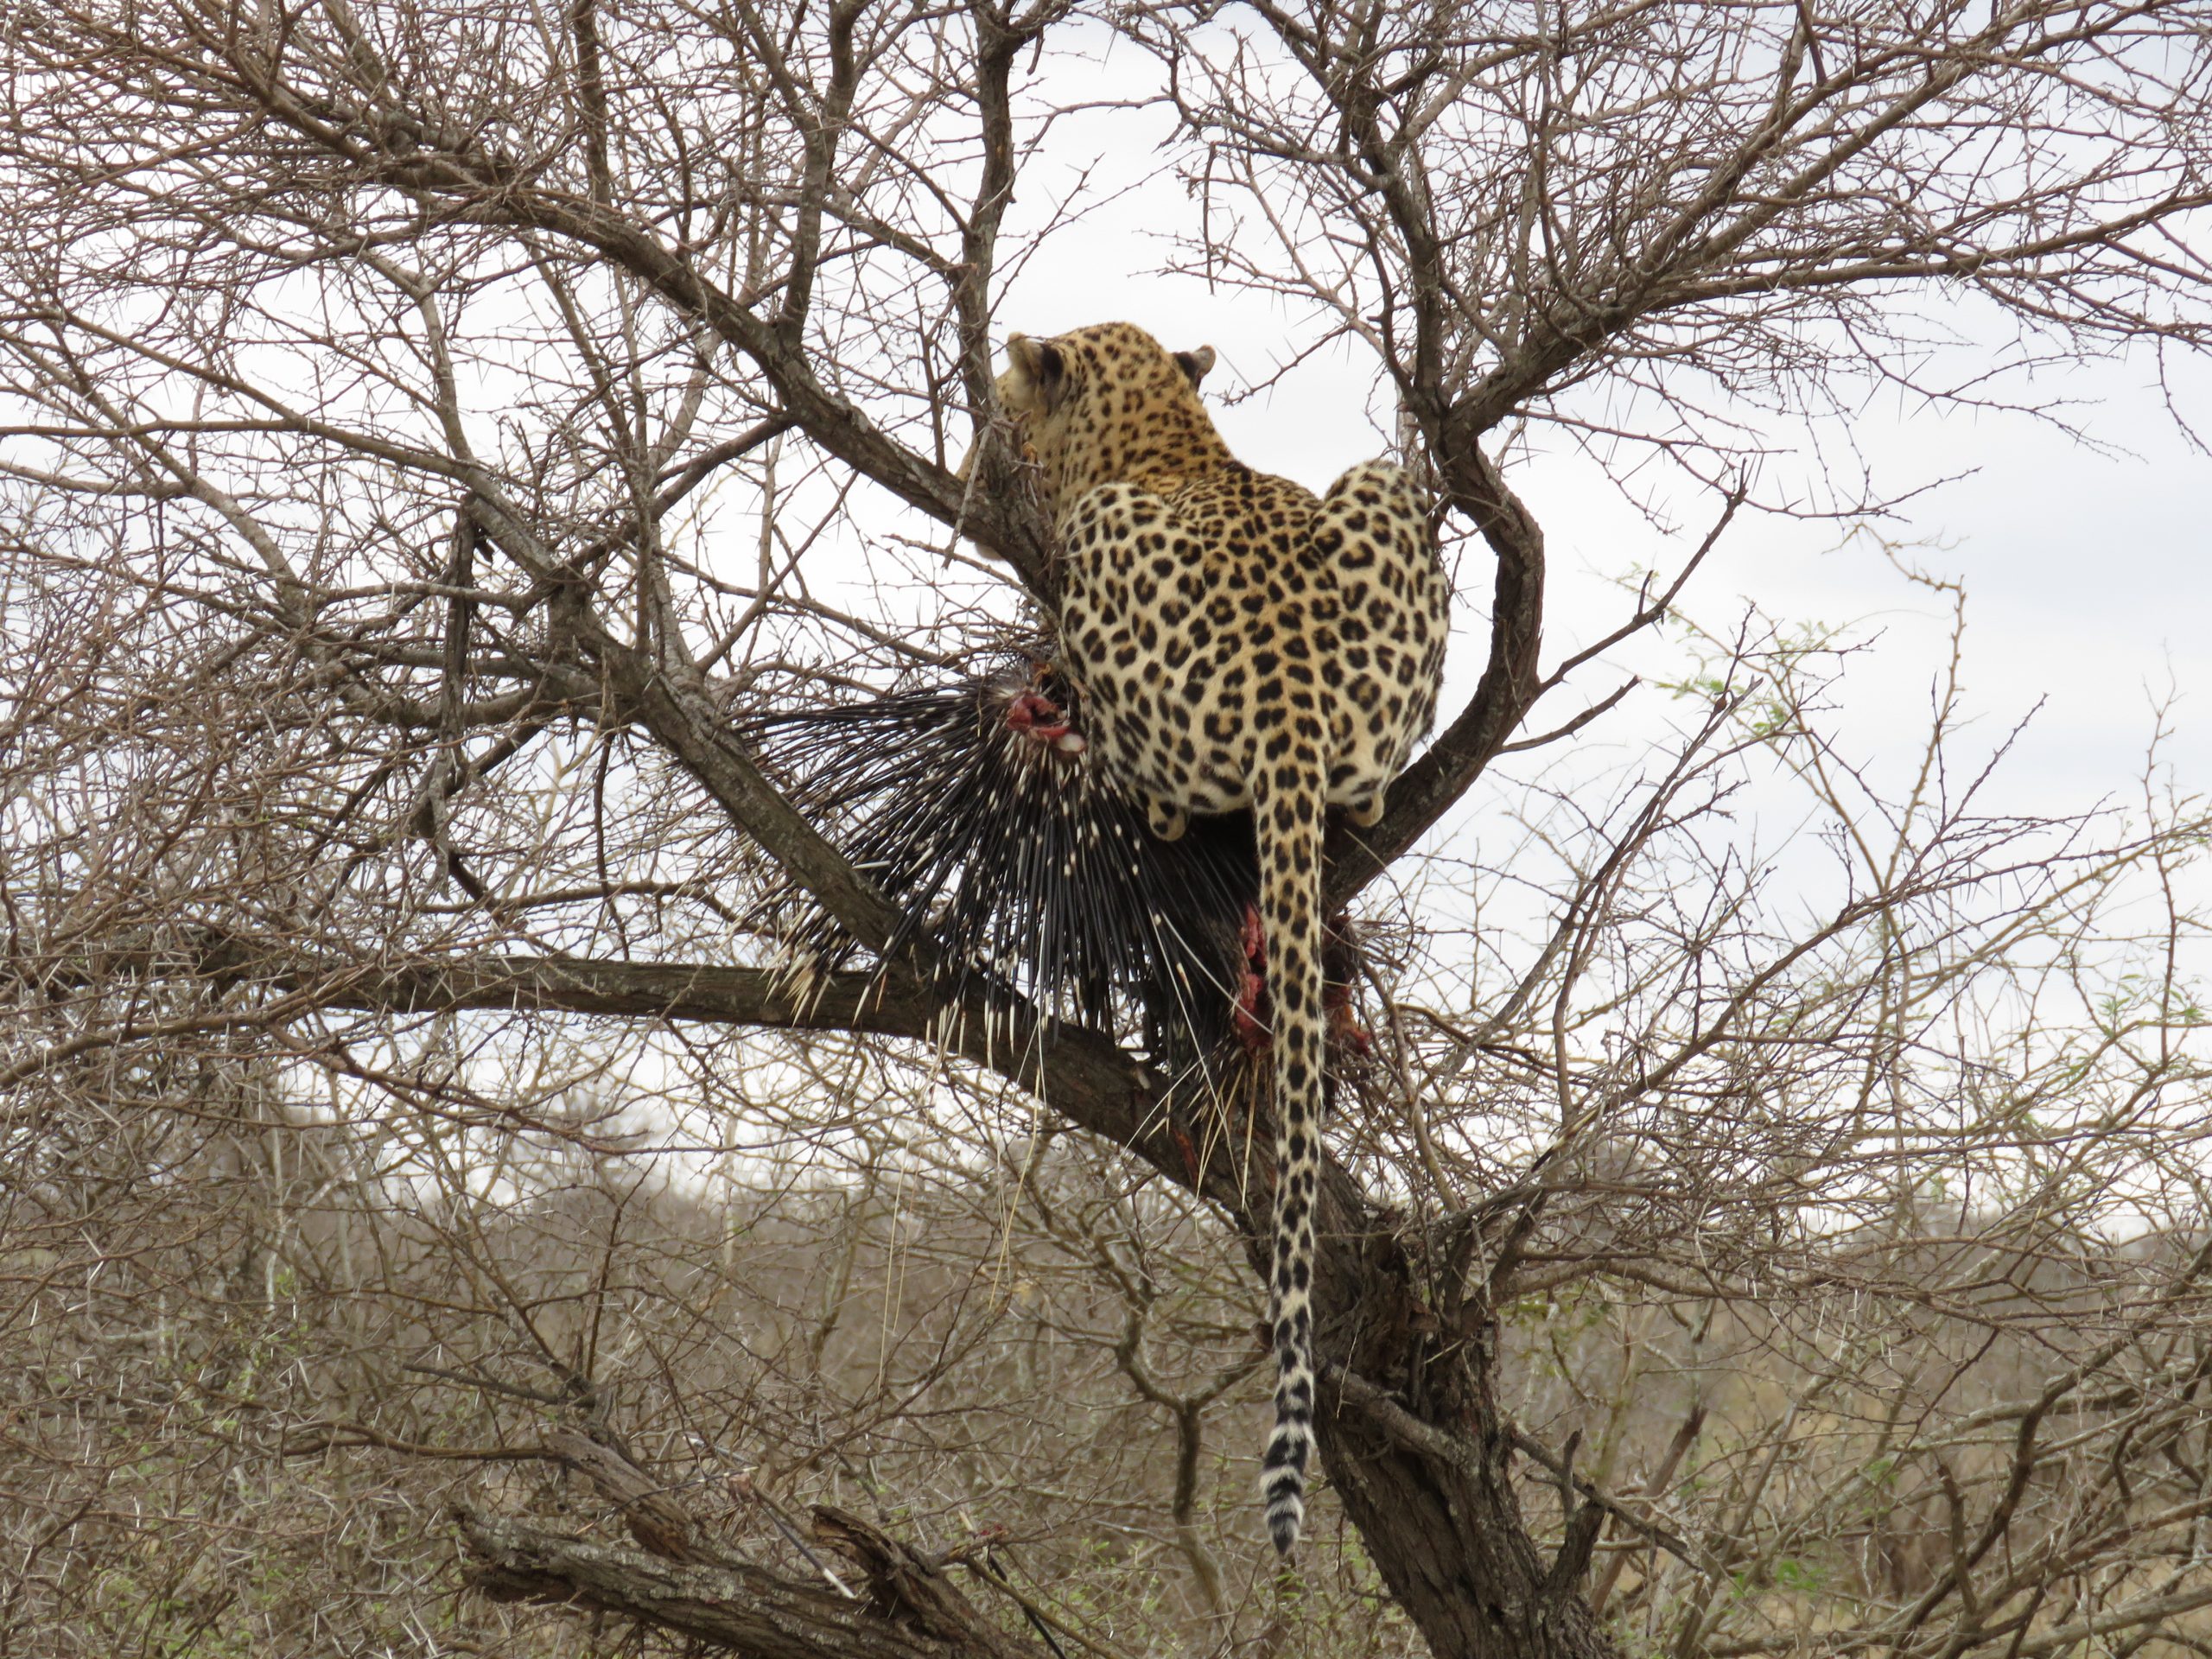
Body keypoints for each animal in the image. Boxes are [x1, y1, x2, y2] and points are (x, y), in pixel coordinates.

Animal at [992, 321, 1450, 1555]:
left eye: (1004, 402)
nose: (988, 444)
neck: (1169, 437)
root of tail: (1288, 706)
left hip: (1127, 613)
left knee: (1148, 783)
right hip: (1384, 490)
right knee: (1368, 785)